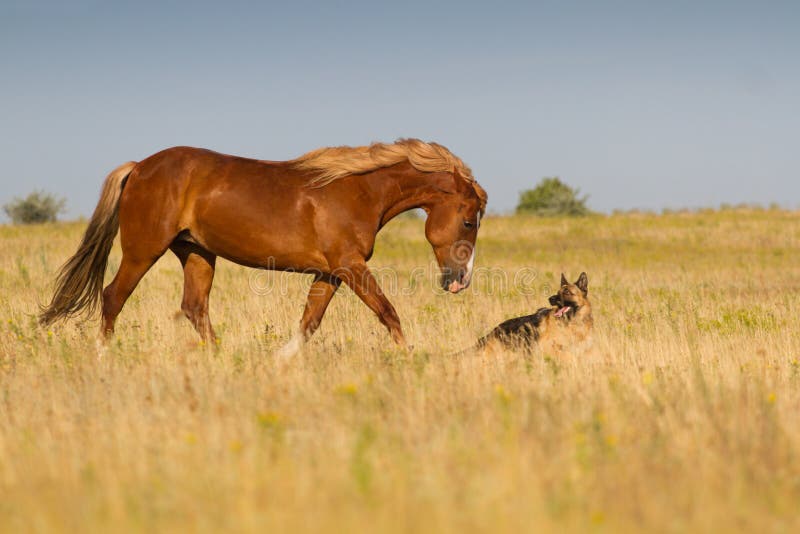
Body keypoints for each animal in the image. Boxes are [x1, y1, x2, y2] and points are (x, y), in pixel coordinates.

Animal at [39, 139, 487, 356]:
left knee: (194, 307)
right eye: (469, 221)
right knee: (113, 297)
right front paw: (410, 359)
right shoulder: (349, 265)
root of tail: (139, 168)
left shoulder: (330, 272)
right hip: (143, 250)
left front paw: (278, 362)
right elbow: (388, 312)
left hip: (197, 253)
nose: (460, 282)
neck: (357, 191)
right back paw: (102, 358)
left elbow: (309, 322)